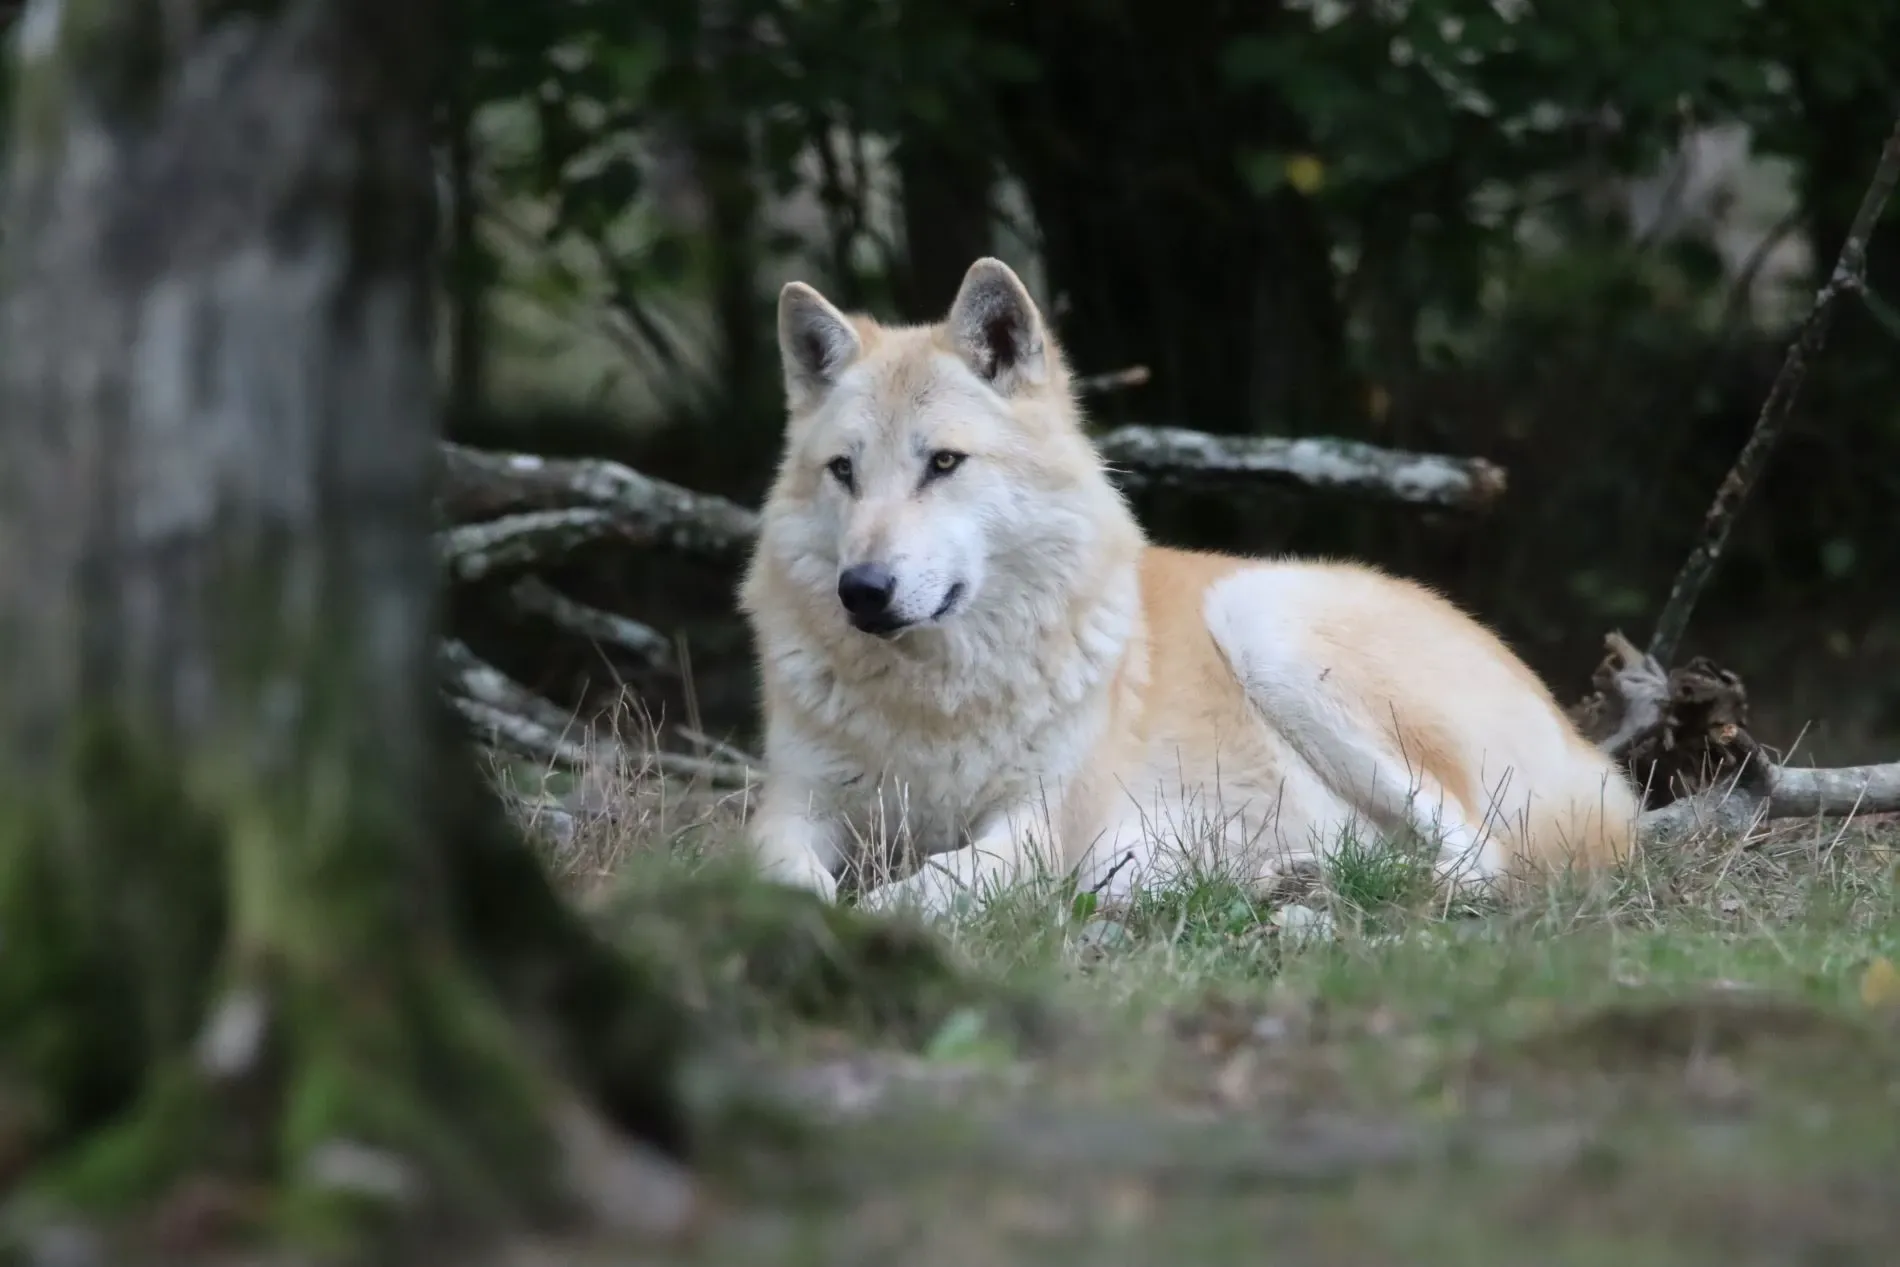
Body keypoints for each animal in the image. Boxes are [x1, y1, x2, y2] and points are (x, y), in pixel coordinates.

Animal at [736, 257, 1640, 916]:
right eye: (844, 471)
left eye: (944, 462)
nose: (862, 589)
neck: (933, 704)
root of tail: (1596, 761)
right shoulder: (793, 807)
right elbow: (775, 872)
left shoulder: (1037, 825)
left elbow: (923, 884)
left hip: (1265, 621)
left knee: (1481, 862)